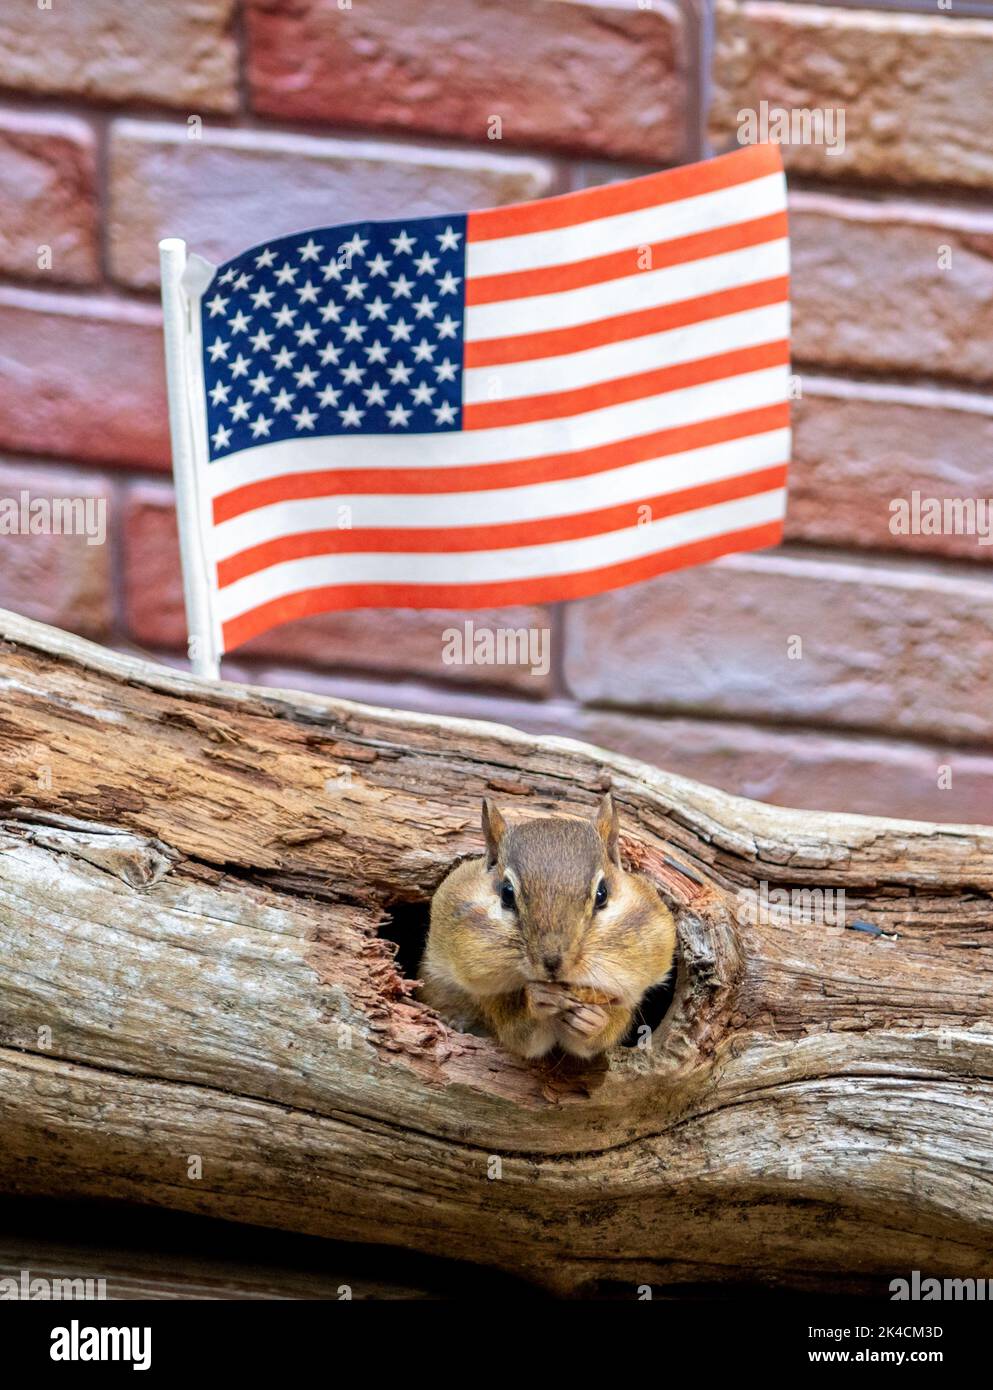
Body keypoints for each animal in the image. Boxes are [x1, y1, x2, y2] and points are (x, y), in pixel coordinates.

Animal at [418, 793, 676, 1060]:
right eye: (507, 893)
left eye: (602, 893)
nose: (552, 964)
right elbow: (519, 1032)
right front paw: (538, 1001)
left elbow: (601, 1035)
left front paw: (594, 1019)